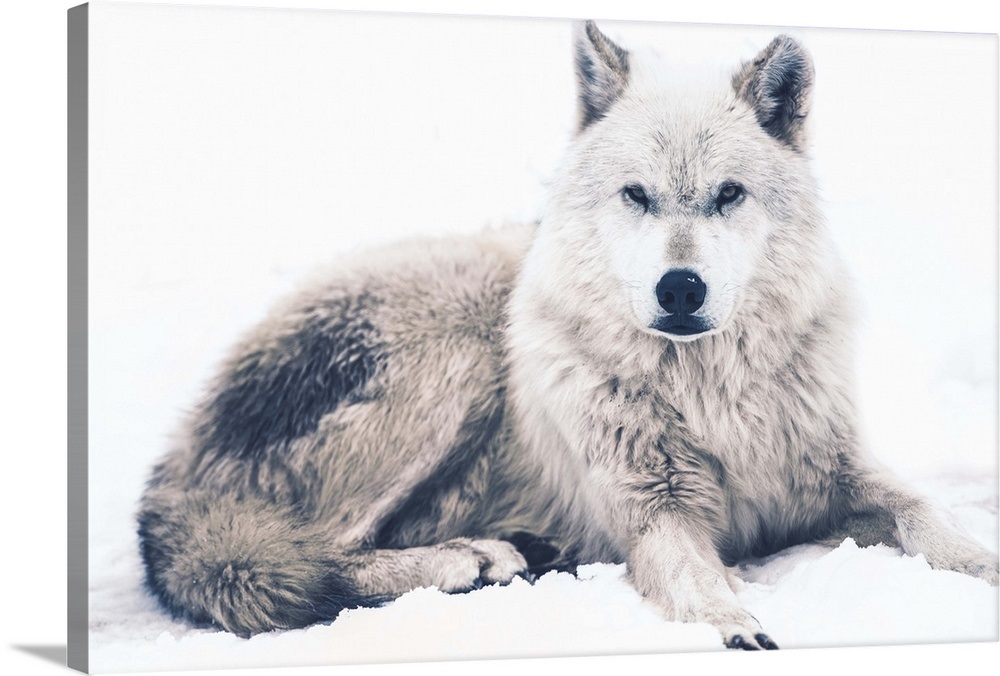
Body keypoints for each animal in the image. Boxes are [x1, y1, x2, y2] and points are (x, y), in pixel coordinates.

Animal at [137, 21, 998, 650]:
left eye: (728, 195)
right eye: (636, 195)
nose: (679, 288)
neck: (710, 393)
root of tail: (170, 476)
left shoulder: (835, 476)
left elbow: (928, 514)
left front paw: (981, 565)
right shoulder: (657, 512)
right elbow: (695, 580)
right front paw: (732, 625)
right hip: (455, 347)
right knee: (310, 556)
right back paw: (471, 558)